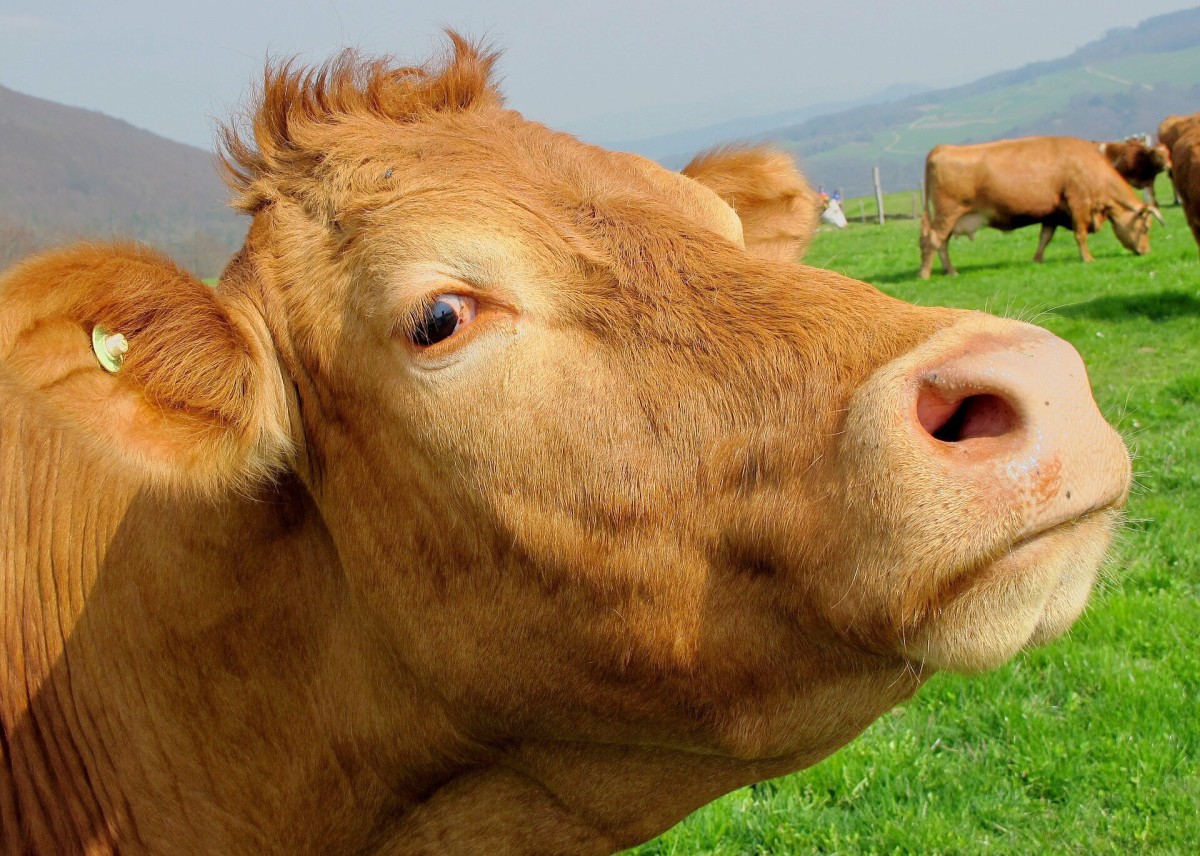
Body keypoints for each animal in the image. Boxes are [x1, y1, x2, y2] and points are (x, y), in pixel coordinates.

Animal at [919, 136, 1162, 279]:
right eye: (1146, 227)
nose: (1146, 251)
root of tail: (941, 148)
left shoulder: (1052, 214)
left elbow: (1045, 237)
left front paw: (1037, 260)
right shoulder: (1078, 204)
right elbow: (1080, 235)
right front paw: (1087, 258)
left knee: (941, 243)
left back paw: (949, 271)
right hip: (948, 214)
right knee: (934, 241)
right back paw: (929, 273)